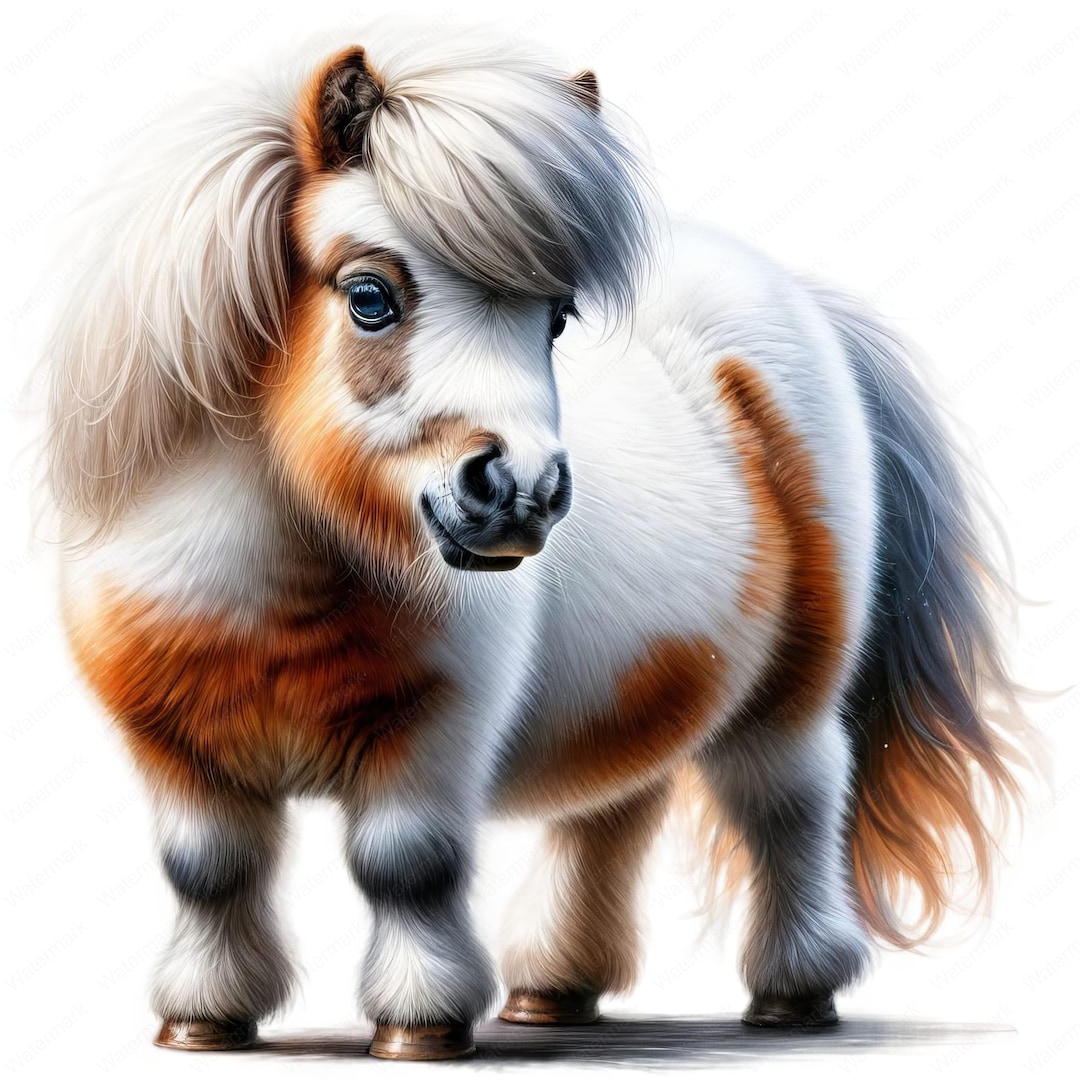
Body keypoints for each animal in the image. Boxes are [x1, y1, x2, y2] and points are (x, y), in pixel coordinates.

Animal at [43, 29, 1031, 1061]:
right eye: (369, 296)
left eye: (556, 316)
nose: (522, 492)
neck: (280, 590)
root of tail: (790, 294)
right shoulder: (174, 751)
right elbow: (207, 871)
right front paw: (203, 1020)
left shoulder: (432, 738)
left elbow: (407, 867)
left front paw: (420, 1024)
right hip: (641, 678)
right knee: (609, 814)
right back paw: (553, 991)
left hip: (789, 701)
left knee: (788, 803)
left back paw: (793, 995)